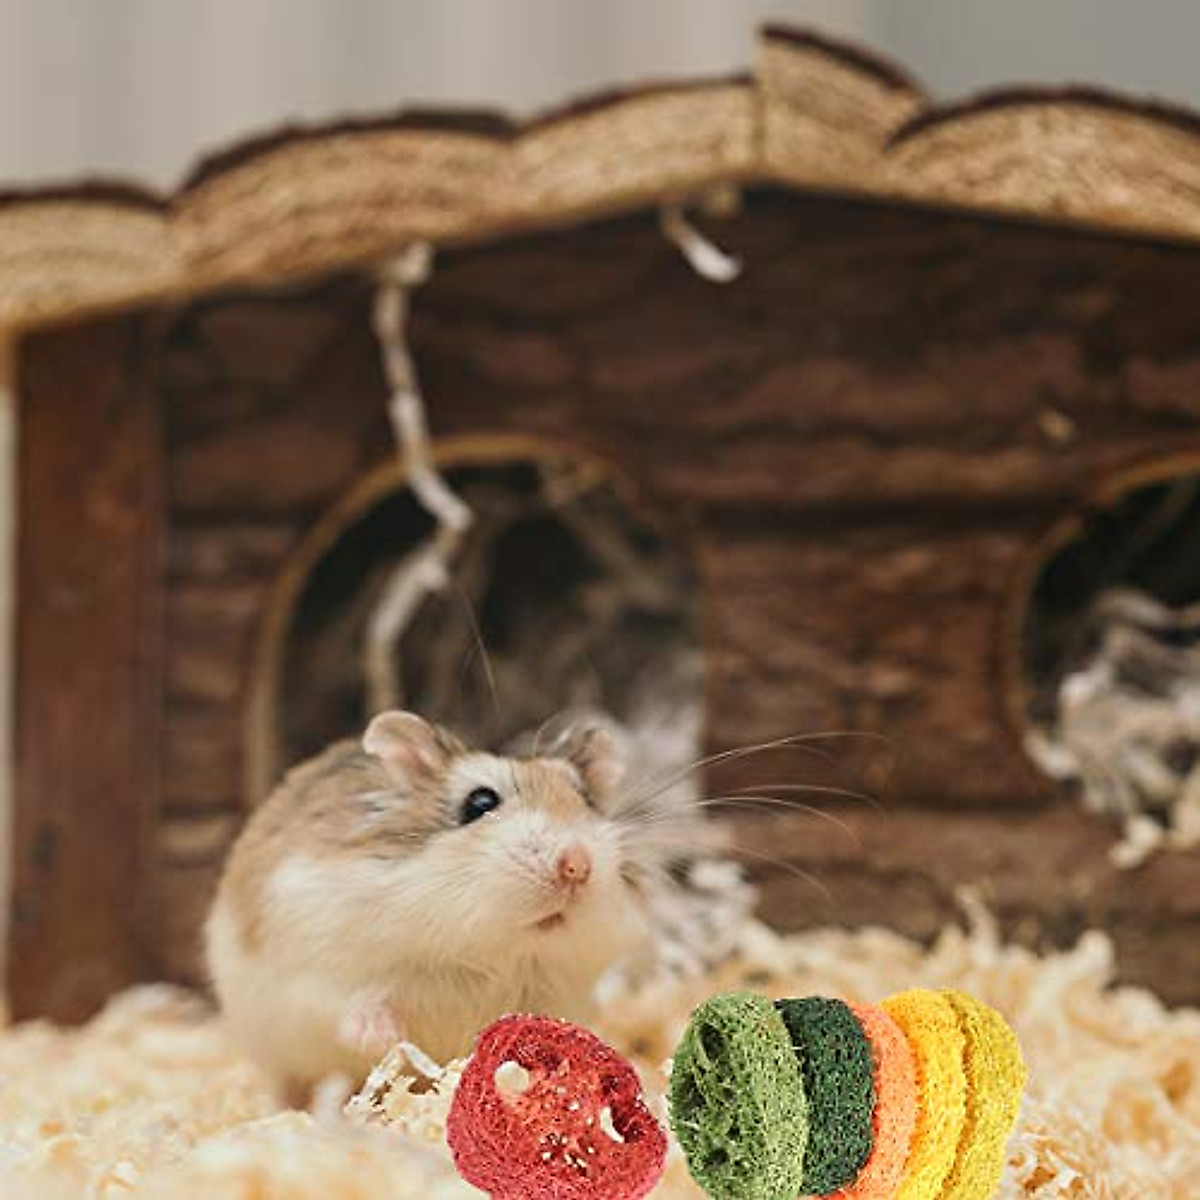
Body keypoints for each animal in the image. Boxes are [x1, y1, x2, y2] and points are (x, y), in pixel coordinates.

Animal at [205, 710, 664, 1100]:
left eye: (586, 800)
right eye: (480, 803)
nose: (577, 865)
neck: (489, 954)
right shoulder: (317, 964)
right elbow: (353, 1002)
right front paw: (382, 1037)